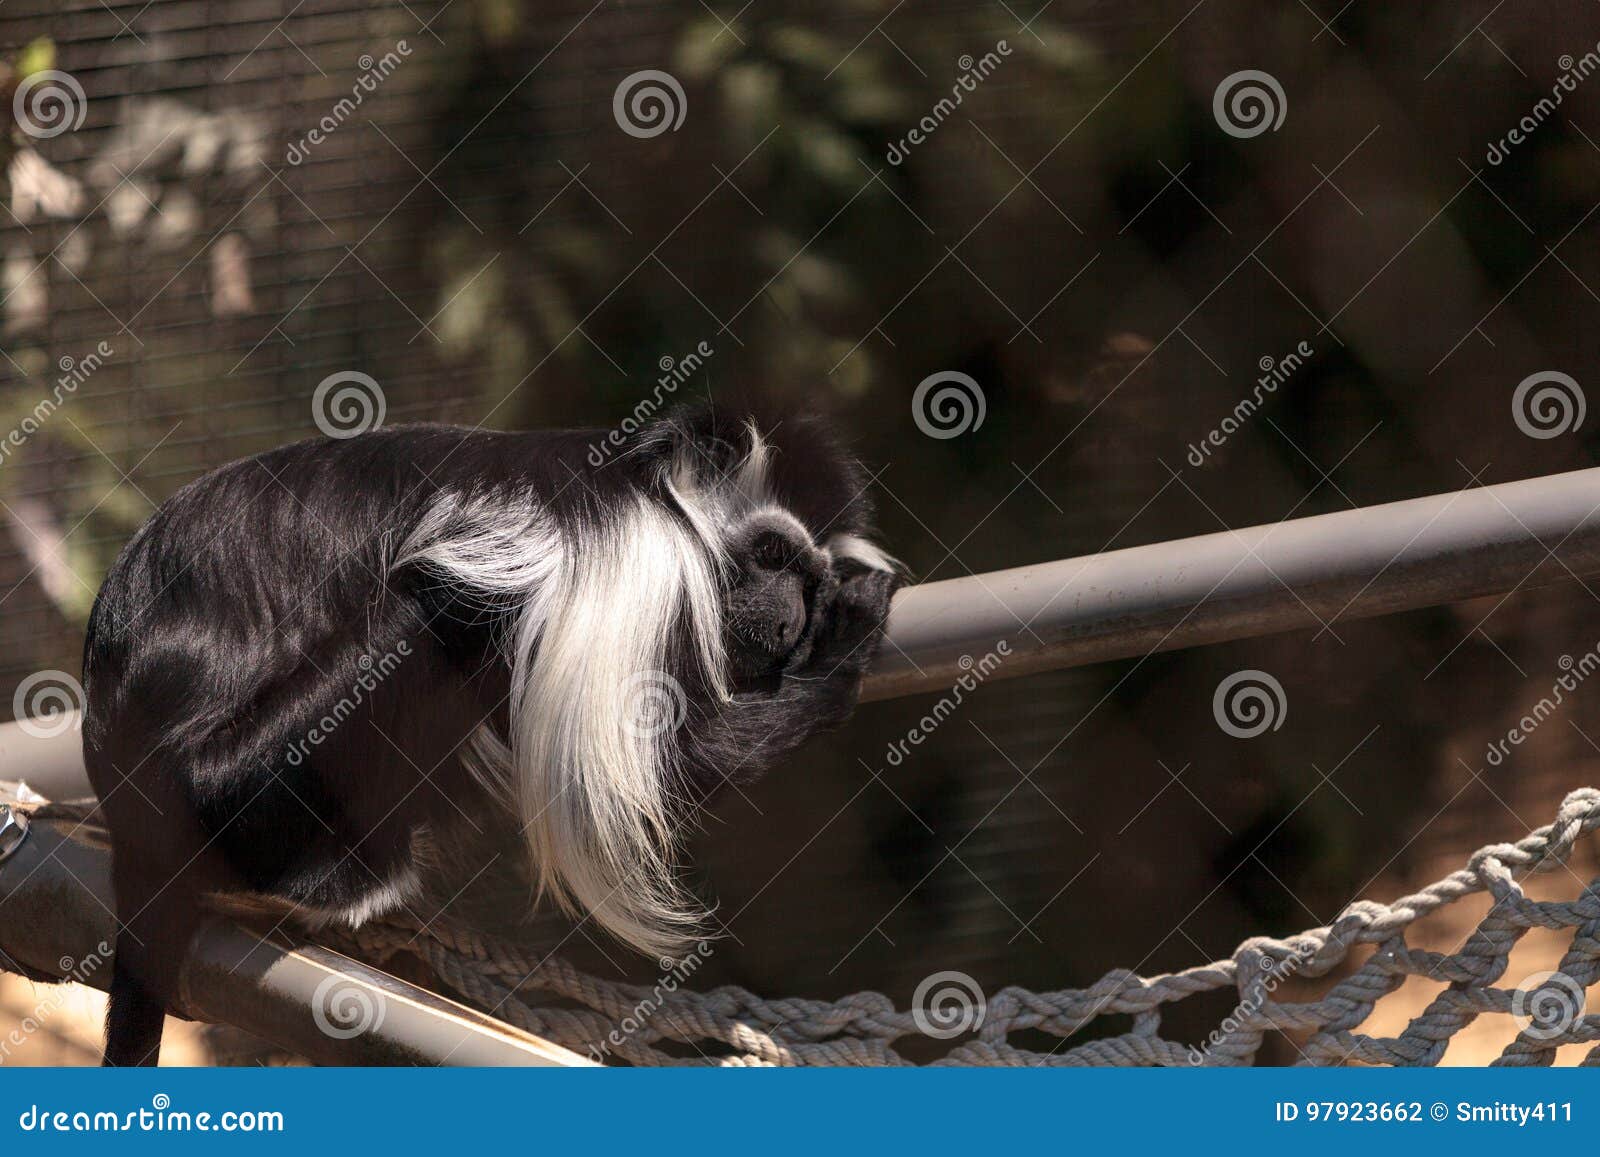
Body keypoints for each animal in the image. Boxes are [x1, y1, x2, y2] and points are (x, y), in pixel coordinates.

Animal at [80, 405, 901, 1066]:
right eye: (769, 556)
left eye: (806, 581)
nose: (792, 616)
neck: (667, 501)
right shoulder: (631, 564)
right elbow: (662, 765)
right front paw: (847, 637)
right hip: (223, 783)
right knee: (447, 606)